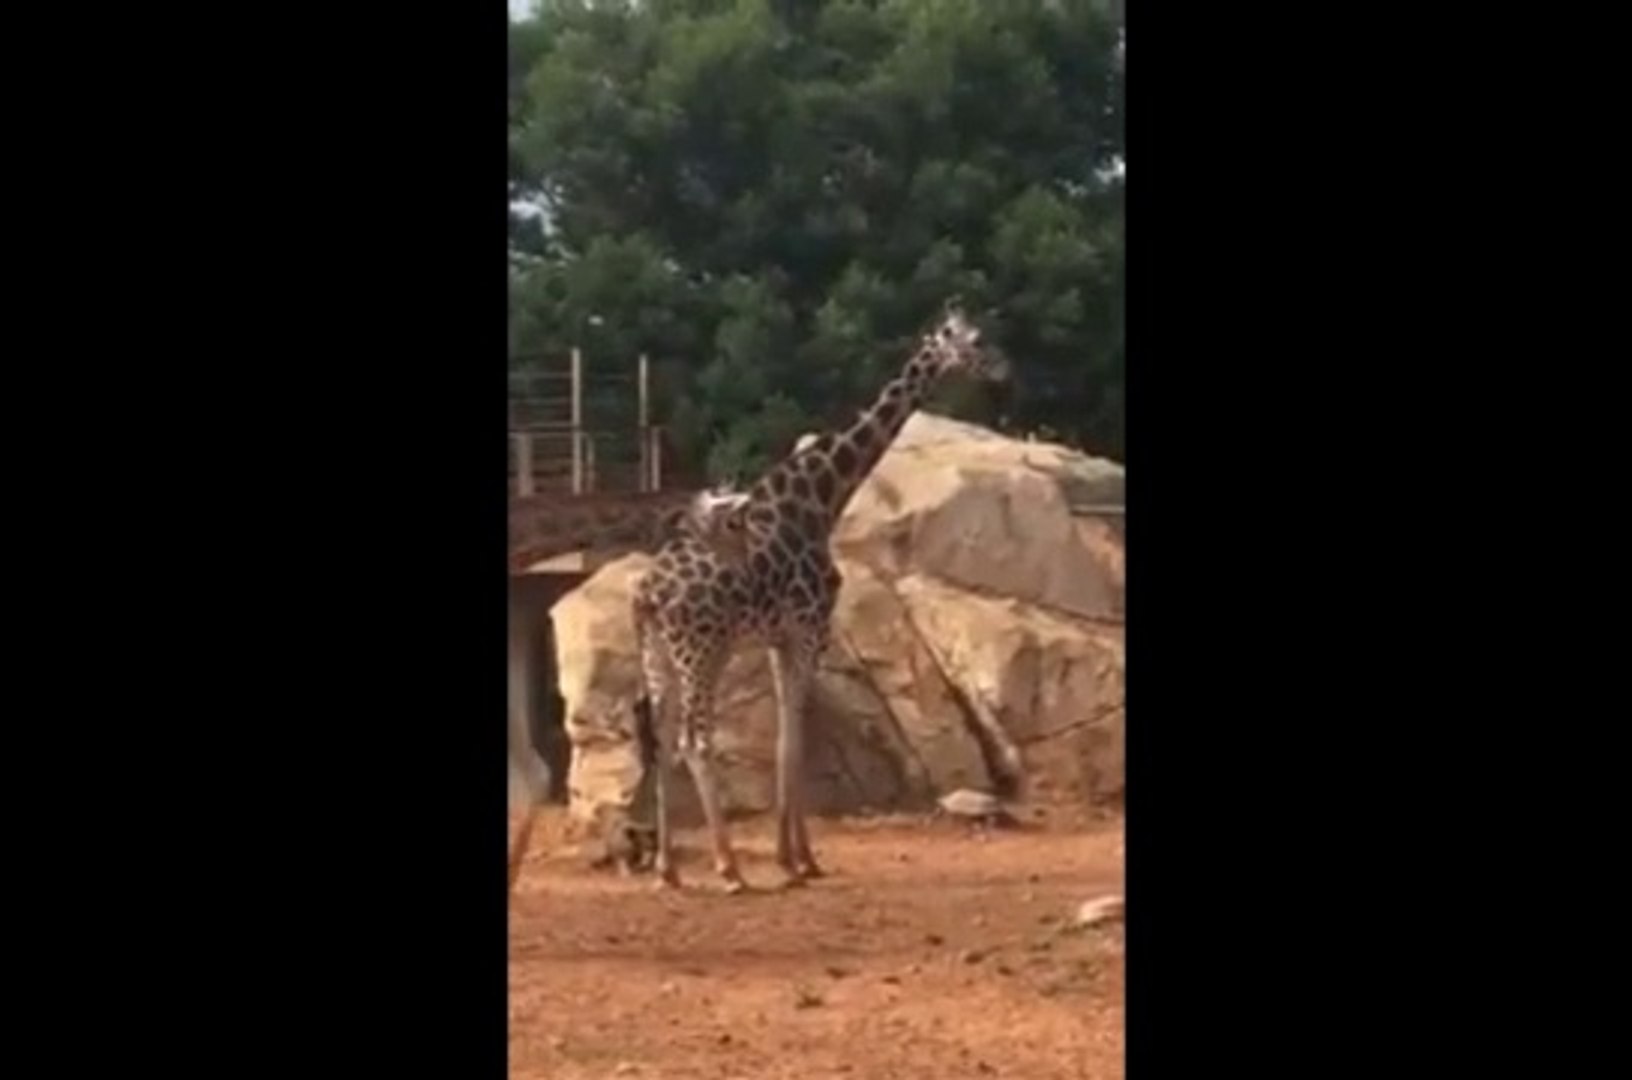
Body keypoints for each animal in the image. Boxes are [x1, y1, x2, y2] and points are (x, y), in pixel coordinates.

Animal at [632, 302, 1008, 893]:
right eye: (973, 340)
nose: (1002, 368)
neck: (821, 498)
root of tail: (649, 591)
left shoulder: (778, 638)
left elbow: (786, 734)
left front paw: (791, 855)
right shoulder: (811, 627)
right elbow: (798, 731)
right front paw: (799, 860)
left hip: (659, 651)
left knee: (664, 735)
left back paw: (668, 869)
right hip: (703, 649)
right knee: (695, 741)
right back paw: (729, 868)